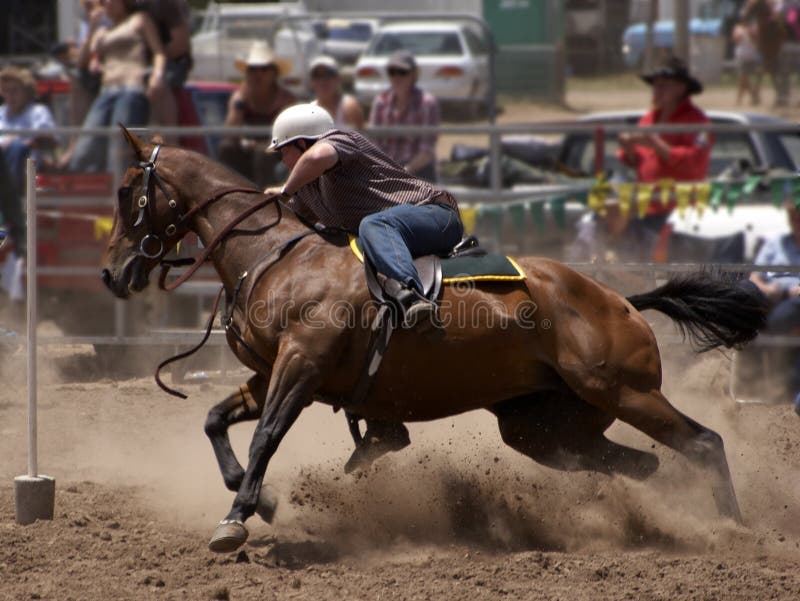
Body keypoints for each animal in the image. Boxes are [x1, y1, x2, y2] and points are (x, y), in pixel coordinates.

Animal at [101, 128, 767, 553]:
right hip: (543, 428)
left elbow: (266, 435)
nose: (111, 274)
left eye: (128, 192)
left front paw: (236, 518)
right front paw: (256, 500)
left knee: (703, 443)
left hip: (625, 391)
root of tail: (622, 300)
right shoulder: (270, 374)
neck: (275, 255)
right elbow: (215, 419)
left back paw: (736, 532)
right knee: (643, 463)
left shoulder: (301, 366)